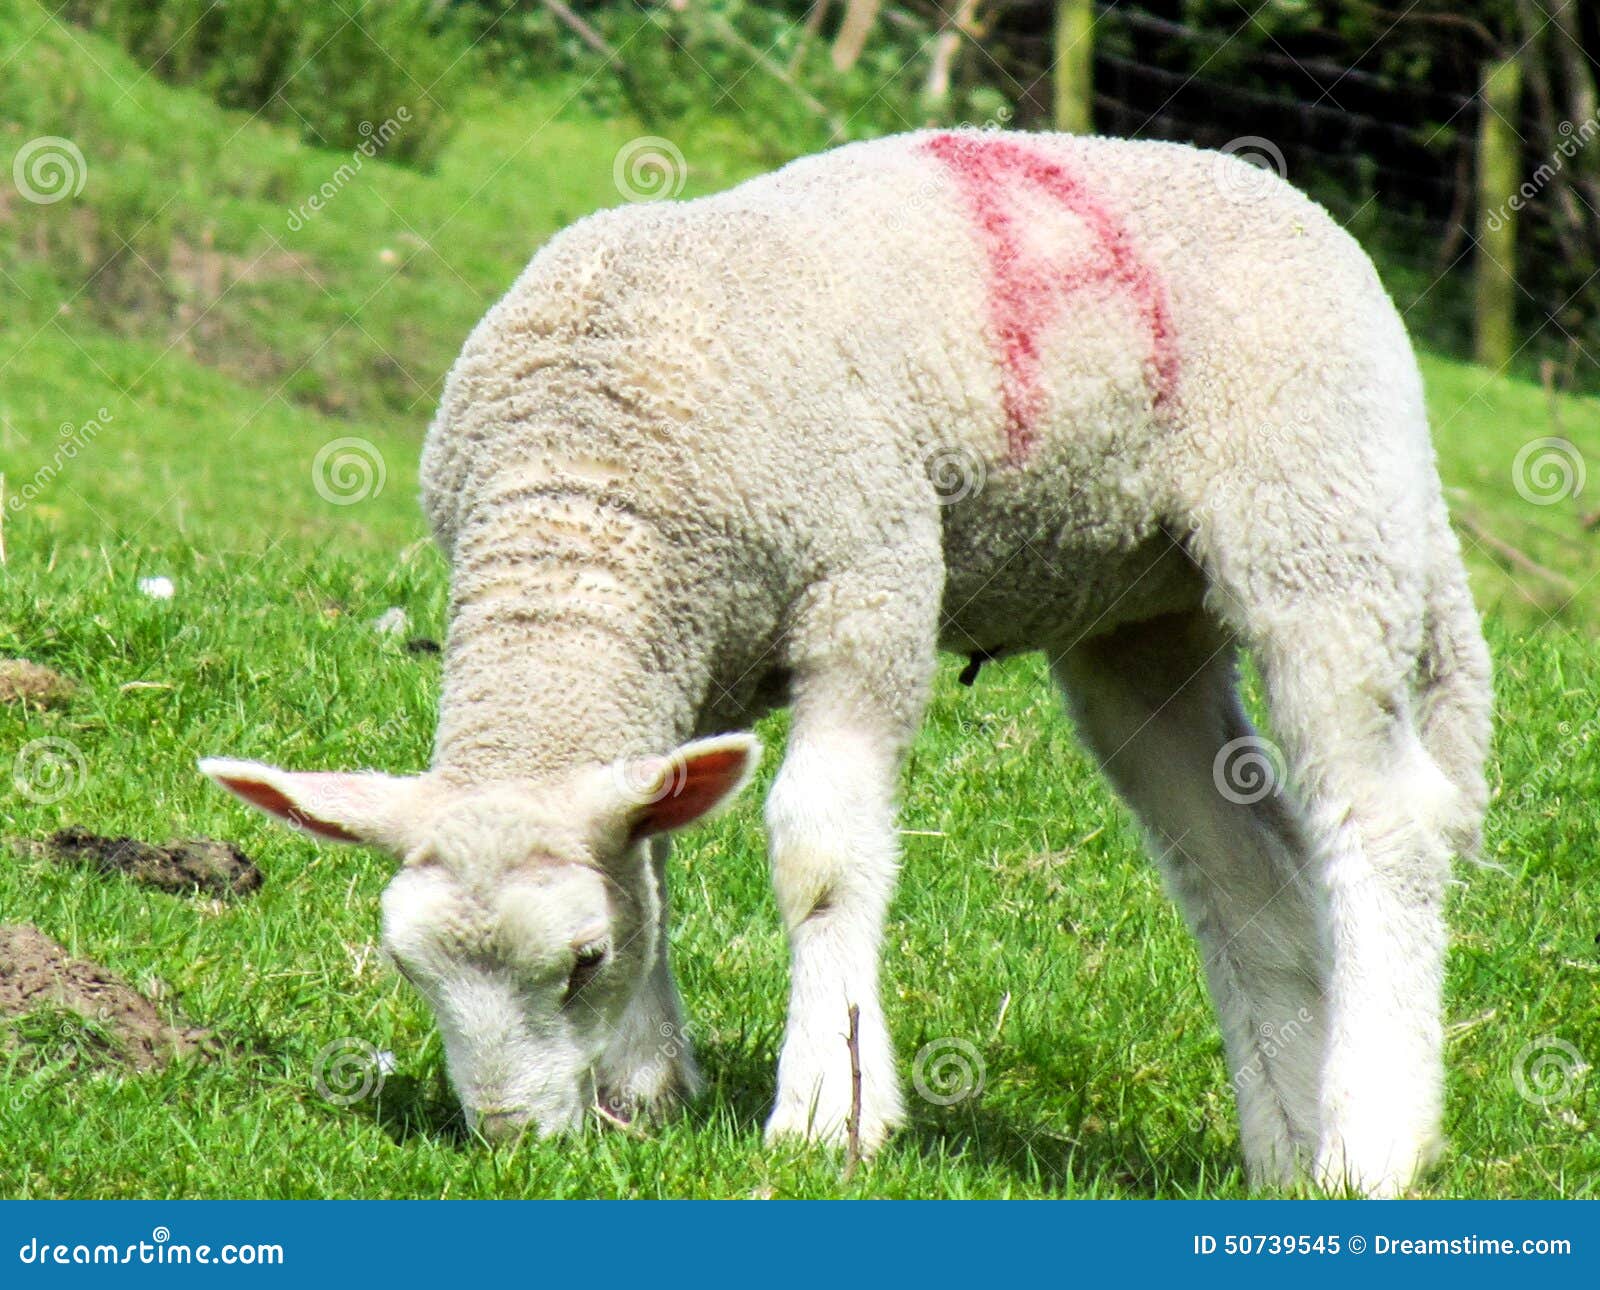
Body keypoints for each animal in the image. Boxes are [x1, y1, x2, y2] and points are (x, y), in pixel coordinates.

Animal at [202, 127, 1491, 1197]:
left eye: (580, 960)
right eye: (408, 970)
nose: (511, 1144)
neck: (586, 500)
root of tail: (1298, 206)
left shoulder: (868, 586)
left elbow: (817, 847)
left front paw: (829, 1110)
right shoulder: (681, 662)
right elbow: (651, 846)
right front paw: (646, 1085)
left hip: (1317, 522)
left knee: (1380, 821)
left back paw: (1371, 1144)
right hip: (1138, 619)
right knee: (1239, 866)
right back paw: (1289, 1153)